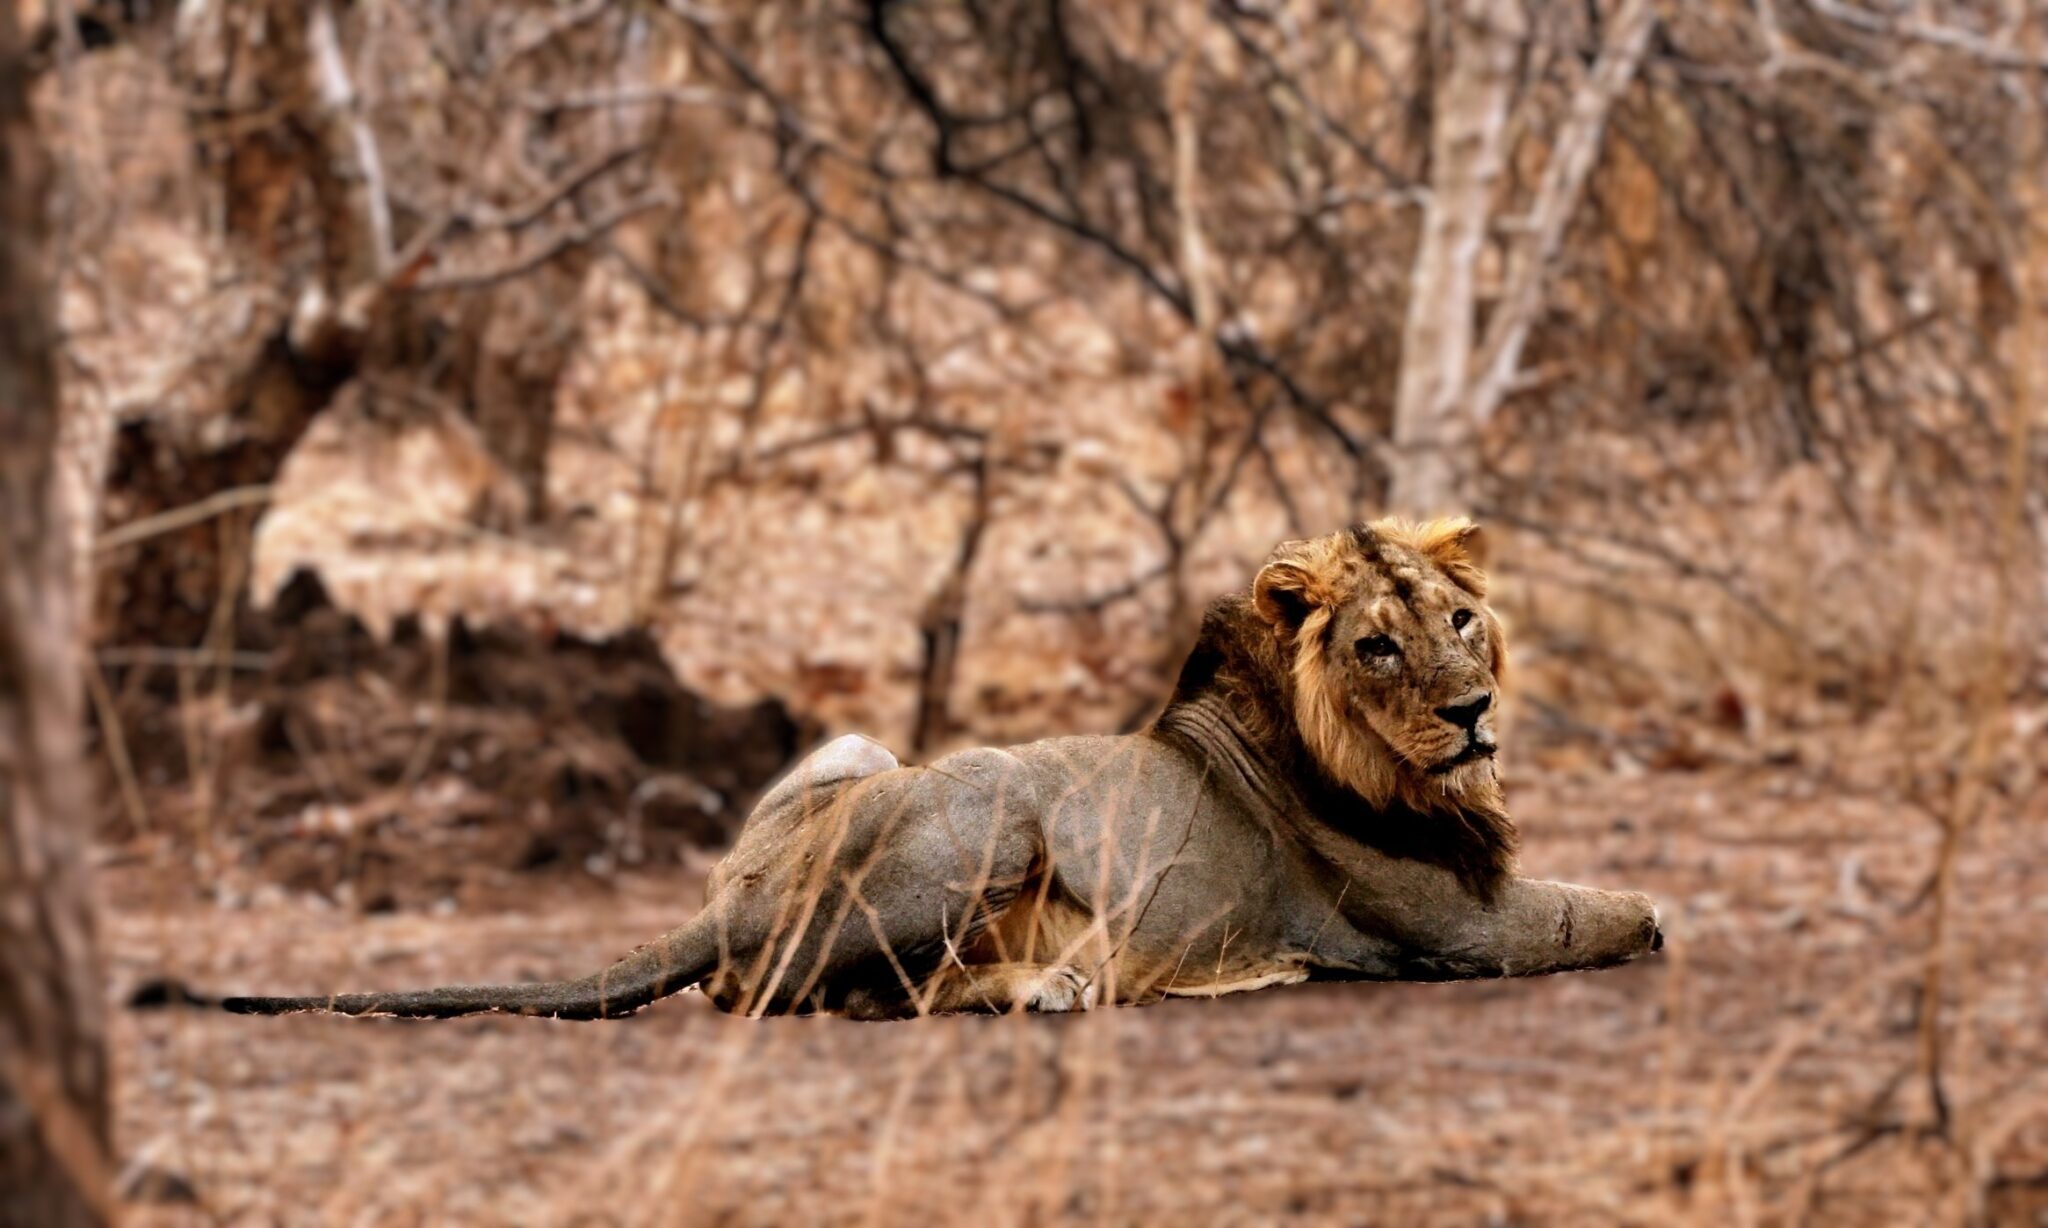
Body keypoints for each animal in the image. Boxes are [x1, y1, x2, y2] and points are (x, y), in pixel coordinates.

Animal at [224, 517, 1662, 1021]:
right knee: (783, 991)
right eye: (1377, 644)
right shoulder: (1447, 922)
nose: (1474, 713)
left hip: (860, 749)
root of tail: (741, 895)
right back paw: (1034, 990)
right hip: (980, 812)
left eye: (1460, 619)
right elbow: (1594, 912)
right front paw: (1649, 913)